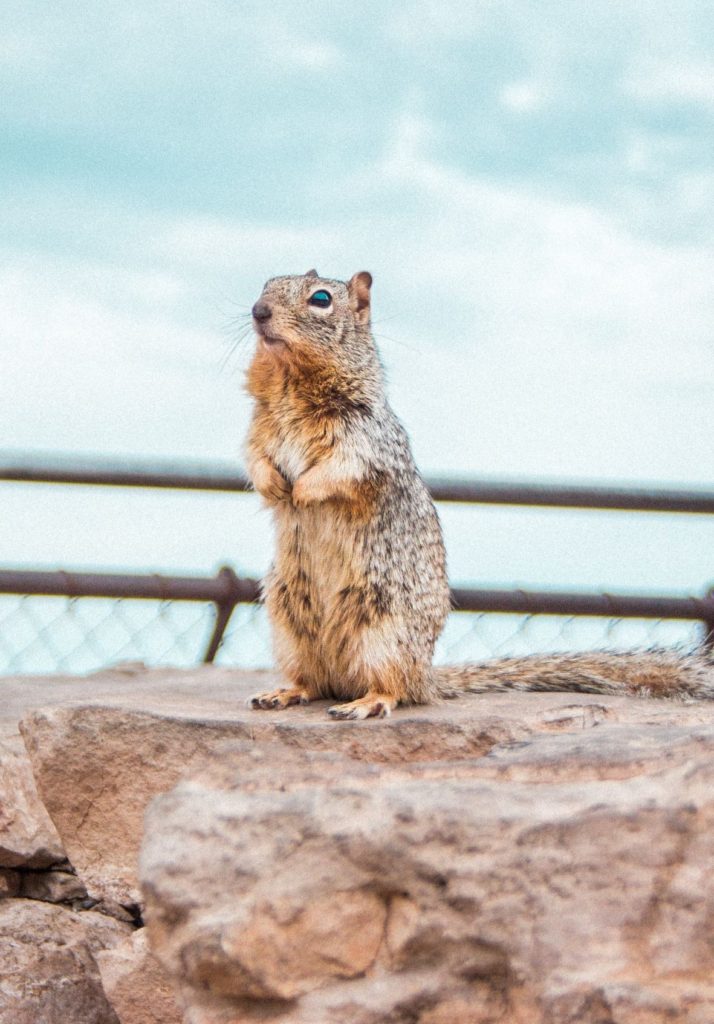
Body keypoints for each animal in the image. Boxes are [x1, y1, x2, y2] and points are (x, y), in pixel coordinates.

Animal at [245, 269, 713, 720]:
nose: (258, 310)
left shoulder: (365, 442)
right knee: (314, 682)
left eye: (321, 299)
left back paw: (367, 702)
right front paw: (275, 486)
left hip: (384, 632)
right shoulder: (258, 432)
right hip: (288, 625)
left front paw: (302, 491)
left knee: (394, 688)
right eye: (266, 284)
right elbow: (256, 461)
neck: (291, 384)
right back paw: (284, 692)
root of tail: (426, 677)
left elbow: (341, 471)